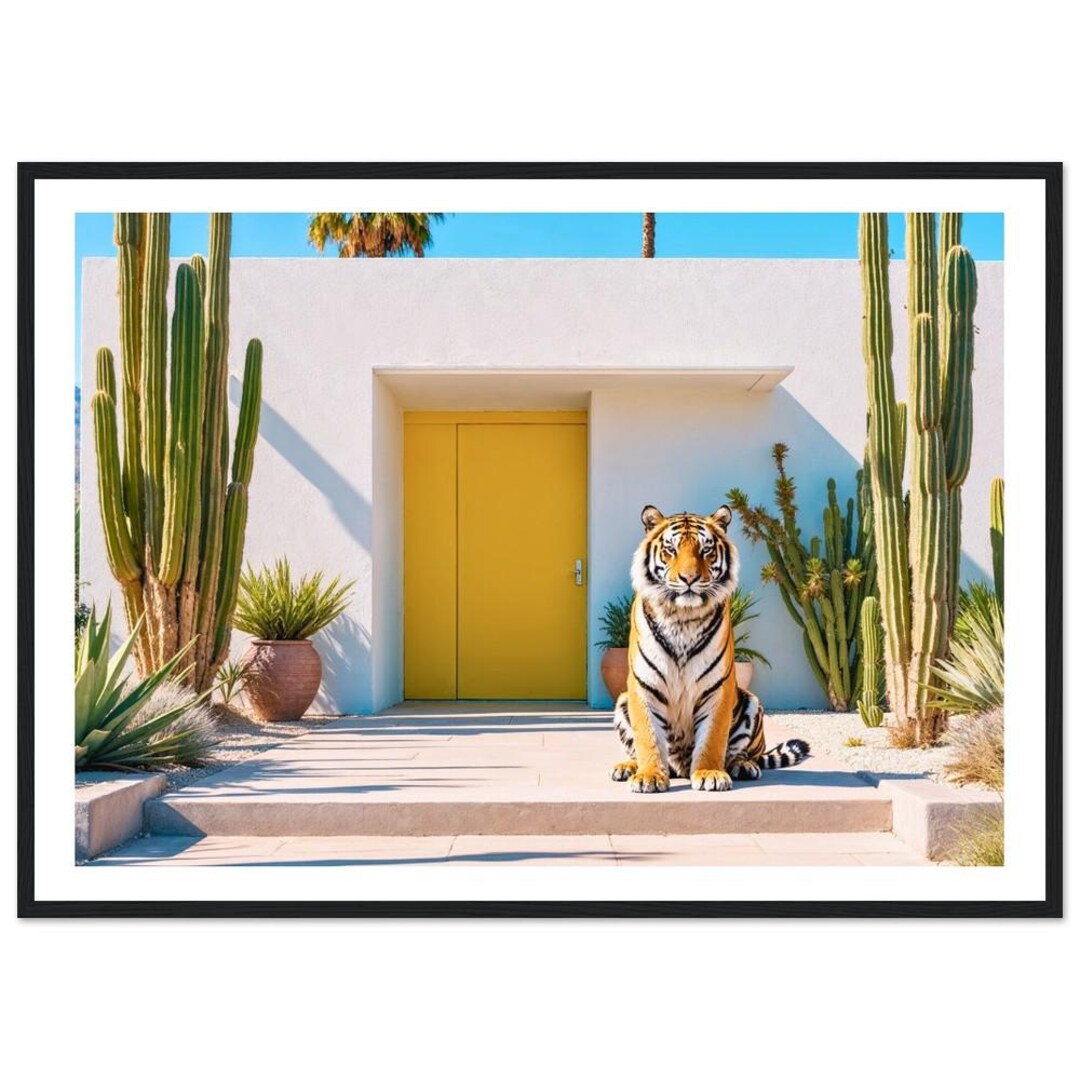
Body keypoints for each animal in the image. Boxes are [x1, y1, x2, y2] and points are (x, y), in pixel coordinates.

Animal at [611, 503, 809, 793]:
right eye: (671, 550)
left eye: (706, 550)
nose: (689, 578)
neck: (682, 618)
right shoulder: (643, 686)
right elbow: (648, 737)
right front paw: (649, 776)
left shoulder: (718, 687)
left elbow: (712, 737)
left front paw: (709, 774)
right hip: (622, 701)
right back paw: (628, 767)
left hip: (752, 702)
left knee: (745, 753)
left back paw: (743, 765)